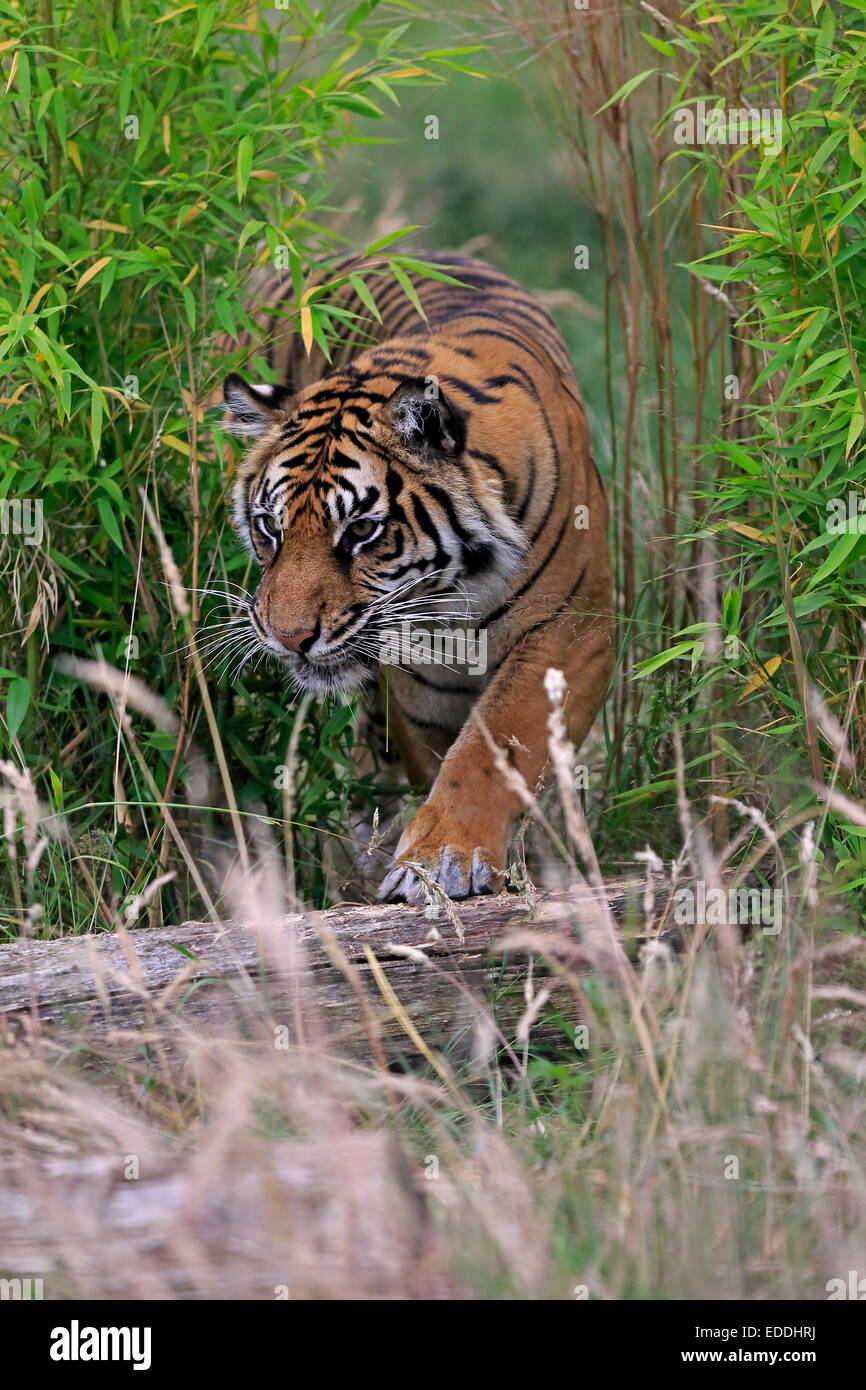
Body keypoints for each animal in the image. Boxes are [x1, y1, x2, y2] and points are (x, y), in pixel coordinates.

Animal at [218, 251, 614, 901]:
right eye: (269, 526)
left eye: (360, 530)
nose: (289, 638)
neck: (458, 590)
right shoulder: (422, 678)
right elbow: (445, 759)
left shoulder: (570, 631)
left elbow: (494, 744)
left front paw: (442, 858)